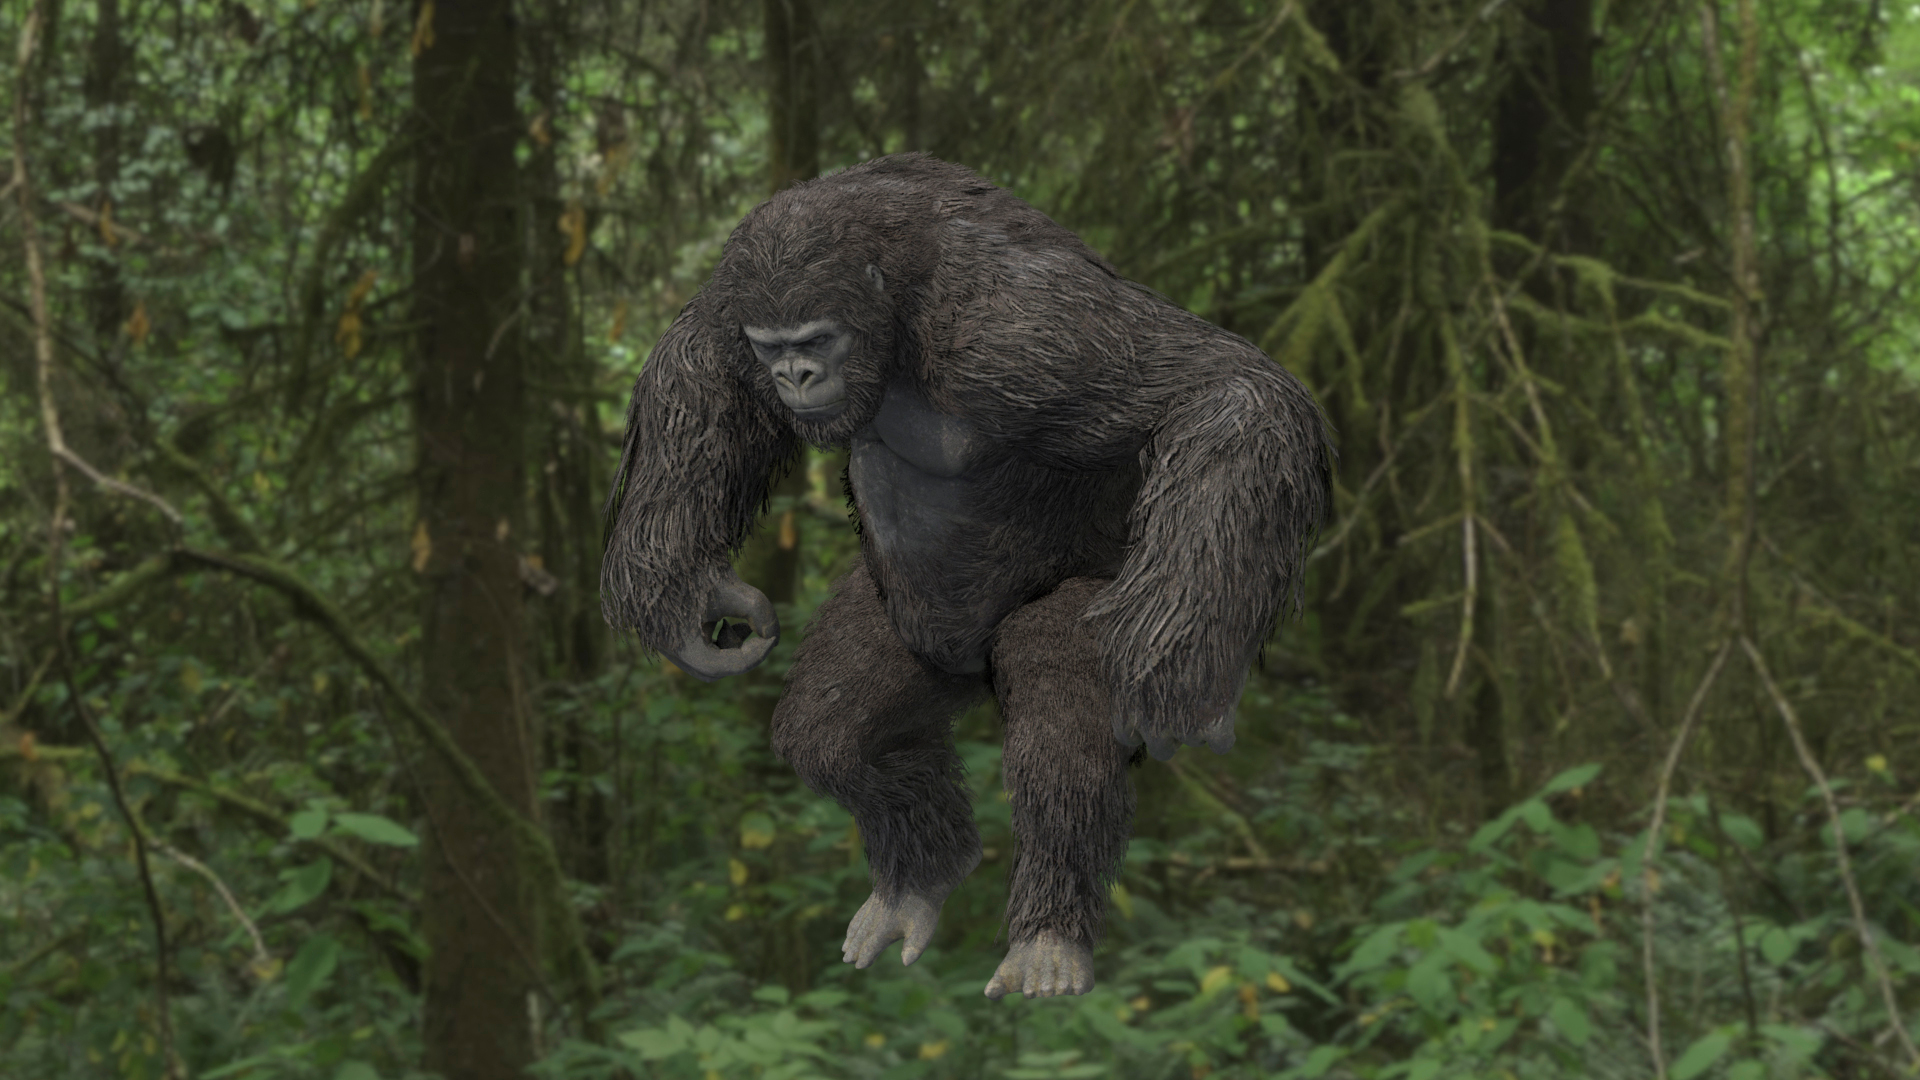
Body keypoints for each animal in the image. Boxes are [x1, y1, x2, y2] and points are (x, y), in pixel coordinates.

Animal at [602, 153, 1331, 999]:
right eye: (771, 343)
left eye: (818, 337)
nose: (795, 372)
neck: (895, 318)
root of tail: (967, 666)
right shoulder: (734, 296)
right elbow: (701, 373)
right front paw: (688, 599)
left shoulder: (1023, 334)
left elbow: (1217, 387)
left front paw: (1180, 663)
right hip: (902, 623)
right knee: (833, 728)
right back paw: (916, 880)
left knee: (1056, 685)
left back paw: (1049, 934)